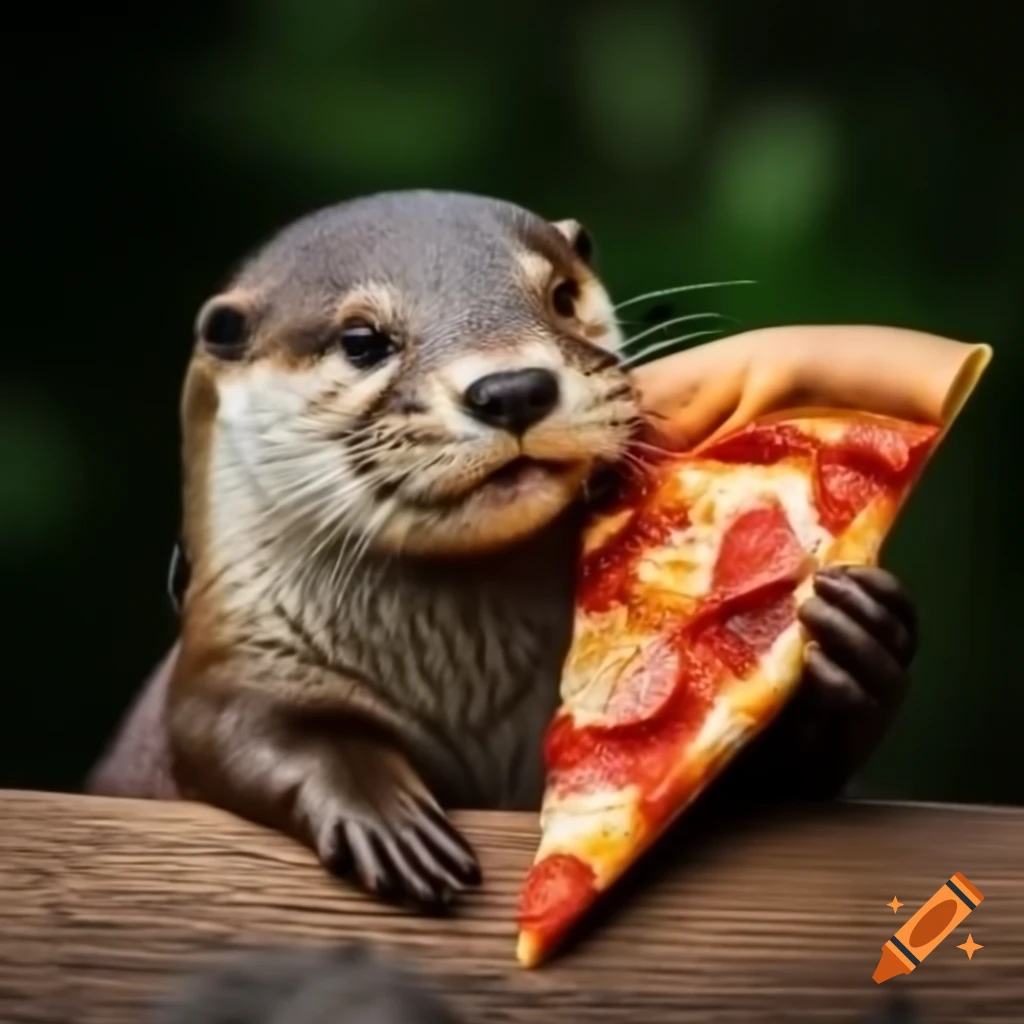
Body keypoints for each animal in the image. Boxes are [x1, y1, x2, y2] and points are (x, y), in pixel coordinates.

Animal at [90, 190, 917, 909]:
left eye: (560, 297)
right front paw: (389, 822)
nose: (513, 388)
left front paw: (854, 642)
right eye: (362, 341)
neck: (473, 689)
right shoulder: (230, 670)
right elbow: (254, 732)